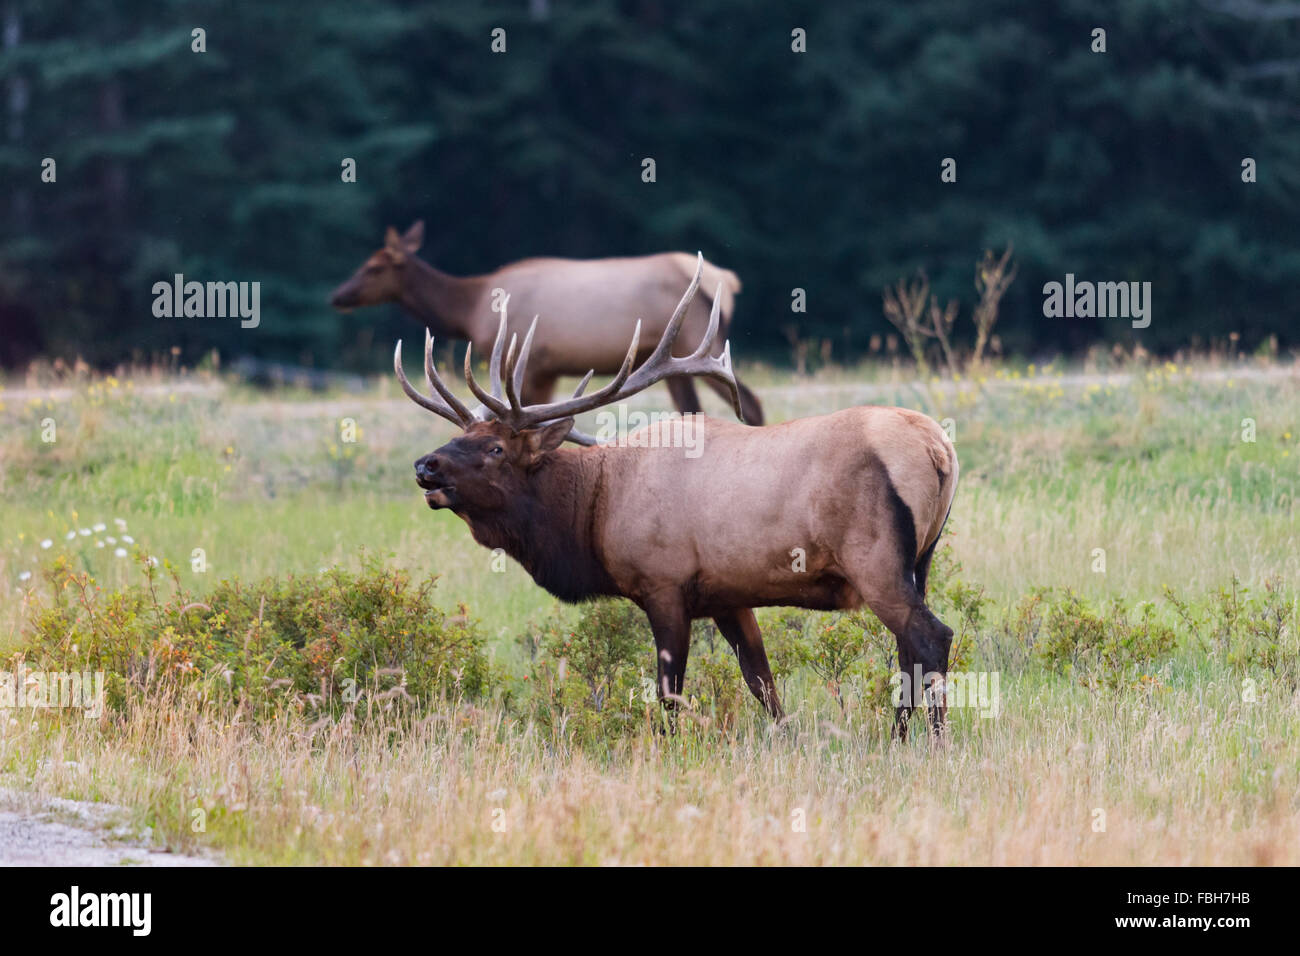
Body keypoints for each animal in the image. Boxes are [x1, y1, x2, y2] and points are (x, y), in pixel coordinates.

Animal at [332, 221, 764, 424]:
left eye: (374, 267)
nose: (337, 295)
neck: (468, 310)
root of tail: (726, 279)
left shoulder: (534, 364)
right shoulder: (549, 370)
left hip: (698, 340)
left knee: (751, 402)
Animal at [394, 256, 959, 737]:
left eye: (494, 447)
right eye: (463, 436)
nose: (425, 465)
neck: (594, 510)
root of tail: (939, 447)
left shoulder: (663, 583)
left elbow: (670, 692)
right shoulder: (728, 595)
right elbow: (762, 683)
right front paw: (787, 738)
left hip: (874, 558)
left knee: (930, 636)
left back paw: (918, 740)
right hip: (920, 561)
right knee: (909, 648)